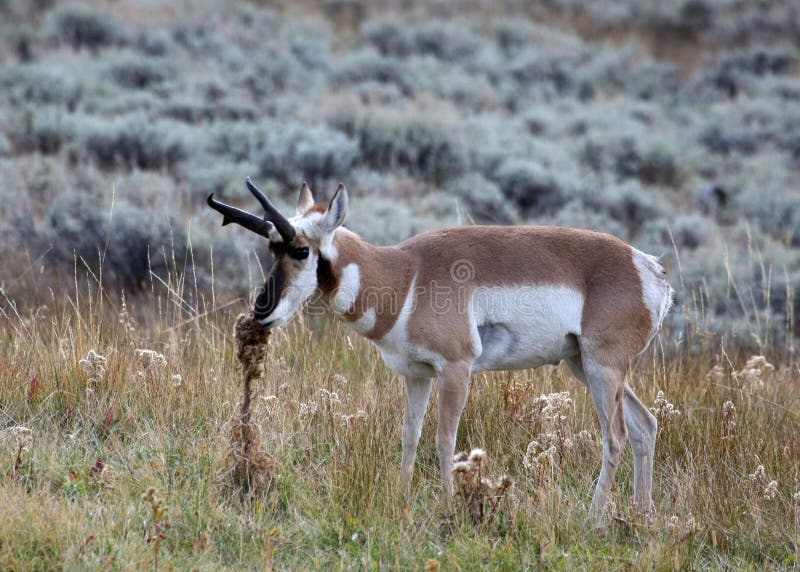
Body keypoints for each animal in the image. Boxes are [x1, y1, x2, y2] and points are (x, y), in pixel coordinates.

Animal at [207, 177, 673, 523]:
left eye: (302, 250)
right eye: (272, 248)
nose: (261, 311)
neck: (405, 275)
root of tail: (648, 268)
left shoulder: (456, 369)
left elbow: (445, 439)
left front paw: (448, 508)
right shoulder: (417, 375)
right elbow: (409, 435)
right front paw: (401, 497)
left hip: (602, 370)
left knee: (614, 436)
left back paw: (592, 519)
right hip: (586, 366)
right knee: (645, 426)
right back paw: (642, 517)